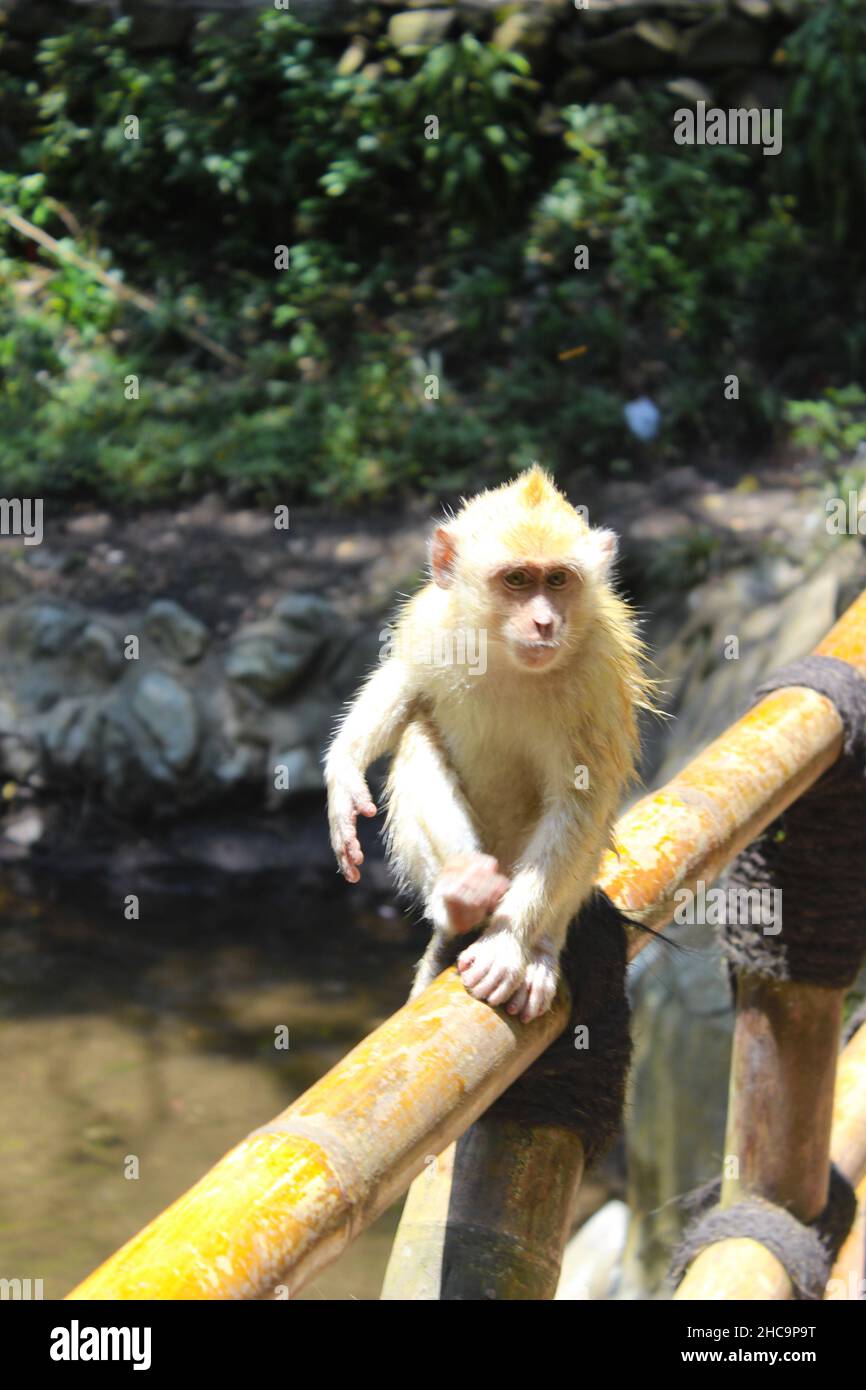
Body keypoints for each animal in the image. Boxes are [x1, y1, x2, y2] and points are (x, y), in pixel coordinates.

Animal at [325, 466, 653, 1023]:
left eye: (558, 580)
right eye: (517, 580)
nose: (545, 622)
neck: (505, 659)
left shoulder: (596, 673)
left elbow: (582, 802)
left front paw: (509, 943)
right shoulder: (434, 622)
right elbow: (405, 683)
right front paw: (343, 777)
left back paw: (537, 947)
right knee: (417, 736)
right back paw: (462, 899)